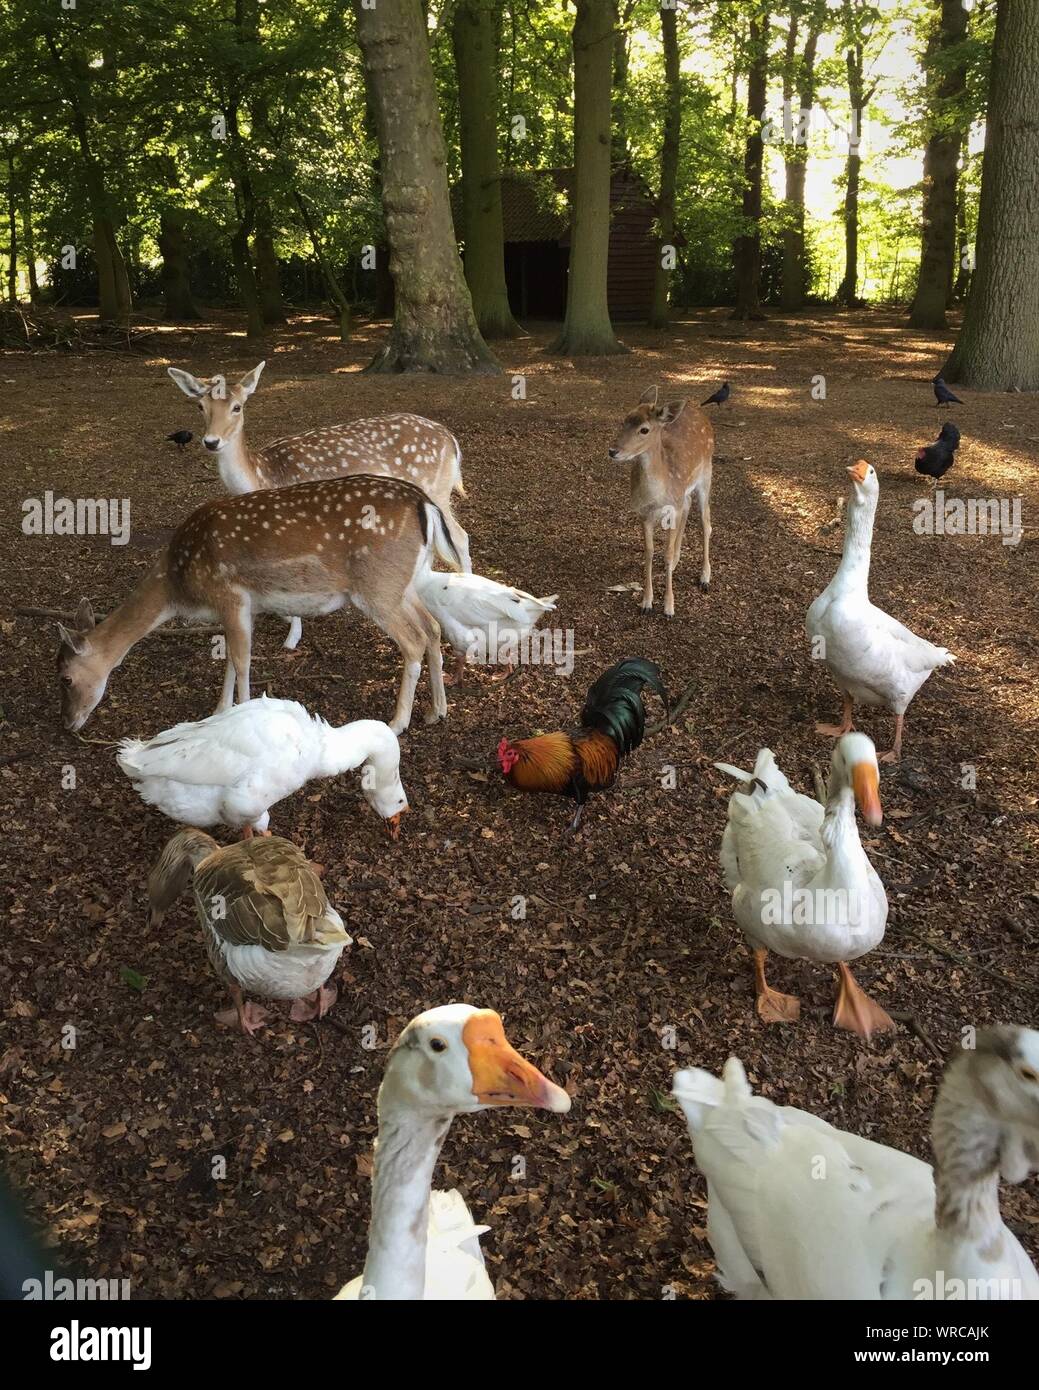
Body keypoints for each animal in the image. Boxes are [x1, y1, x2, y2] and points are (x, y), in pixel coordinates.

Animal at [55, 475, 457, 737]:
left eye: (65, 678)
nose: (68, 724)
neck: (178, 584)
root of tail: (426, 504)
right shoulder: (243, 607)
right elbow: (232, 661)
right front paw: (218, 711)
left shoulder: (229, 594)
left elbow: (241, 661)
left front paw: (238, 716)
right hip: (404, 583)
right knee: (433, 627)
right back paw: (436, 711)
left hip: (377, 587)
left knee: (413, 640)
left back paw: (398, 722)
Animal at [167, 361, 472, 649]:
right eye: (200, 406)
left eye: (237, 407)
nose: (211, 441)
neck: (261, 475)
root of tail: (451, 440)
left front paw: (292, 636)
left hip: (436, 488)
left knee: (460, 536)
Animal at [607, 386, 714, 617]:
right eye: (625, 419)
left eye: (644, 430)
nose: (613, 451)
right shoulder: (643, 513)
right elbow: (649, 552)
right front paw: (646, 603)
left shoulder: (671, 509)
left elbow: (665, 554)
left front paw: (669, 607)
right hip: (683, 493)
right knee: (687, 505)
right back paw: (678, 561)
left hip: (706, 475)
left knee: (706, 523)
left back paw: (705, 577)